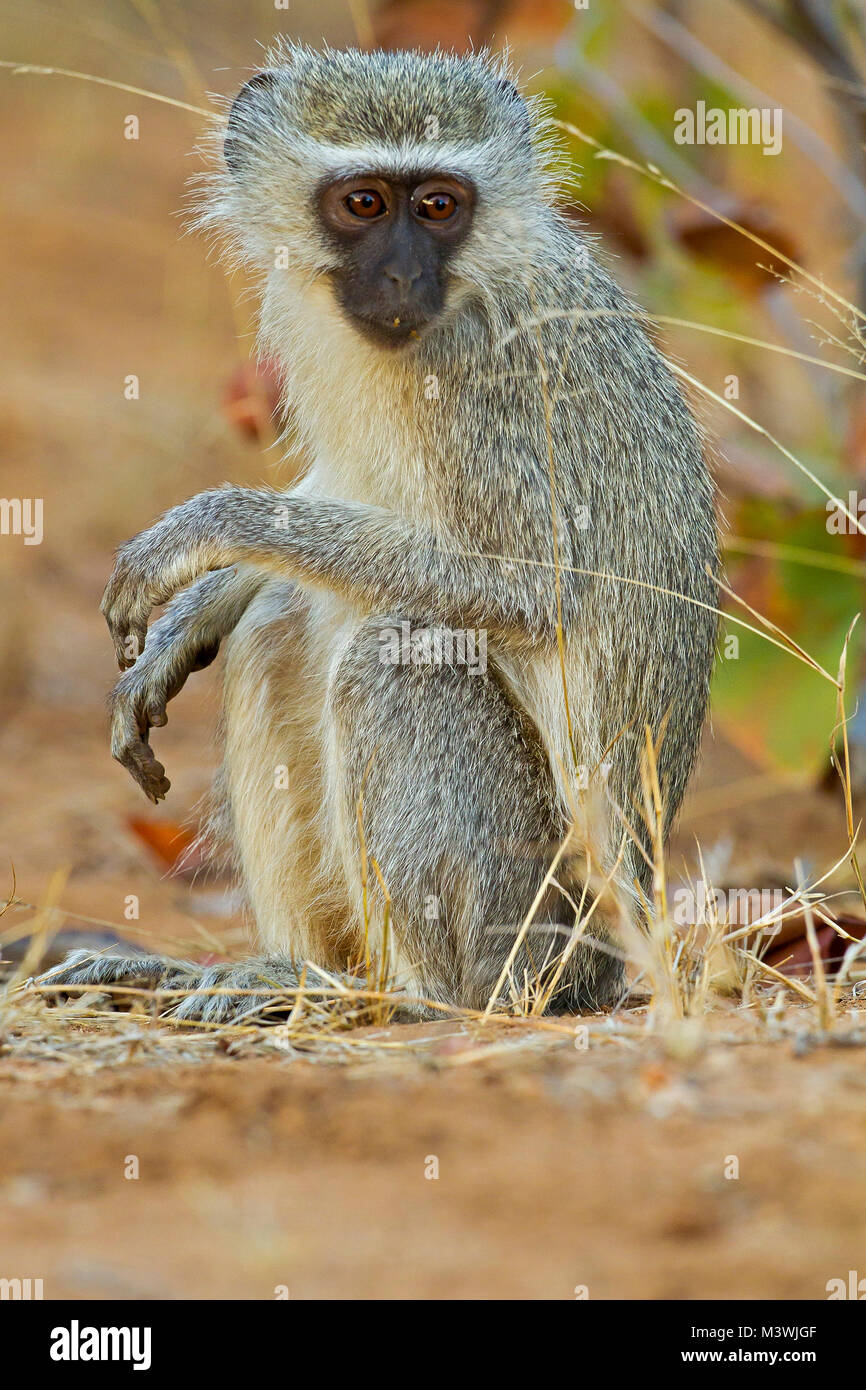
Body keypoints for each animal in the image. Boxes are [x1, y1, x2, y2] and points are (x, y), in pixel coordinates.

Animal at [45, 44, 718, 1025]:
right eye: (364, 202)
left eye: (438, 205)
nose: (402, 280)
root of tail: (608, 968)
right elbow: (328, 497)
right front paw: (189, 619)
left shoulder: (494, 381)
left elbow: (531, 586)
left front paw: (209, 526)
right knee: (280, 623)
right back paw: (271, 971)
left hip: (543, 920)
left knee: (398, 653)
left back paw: (417, 1000)